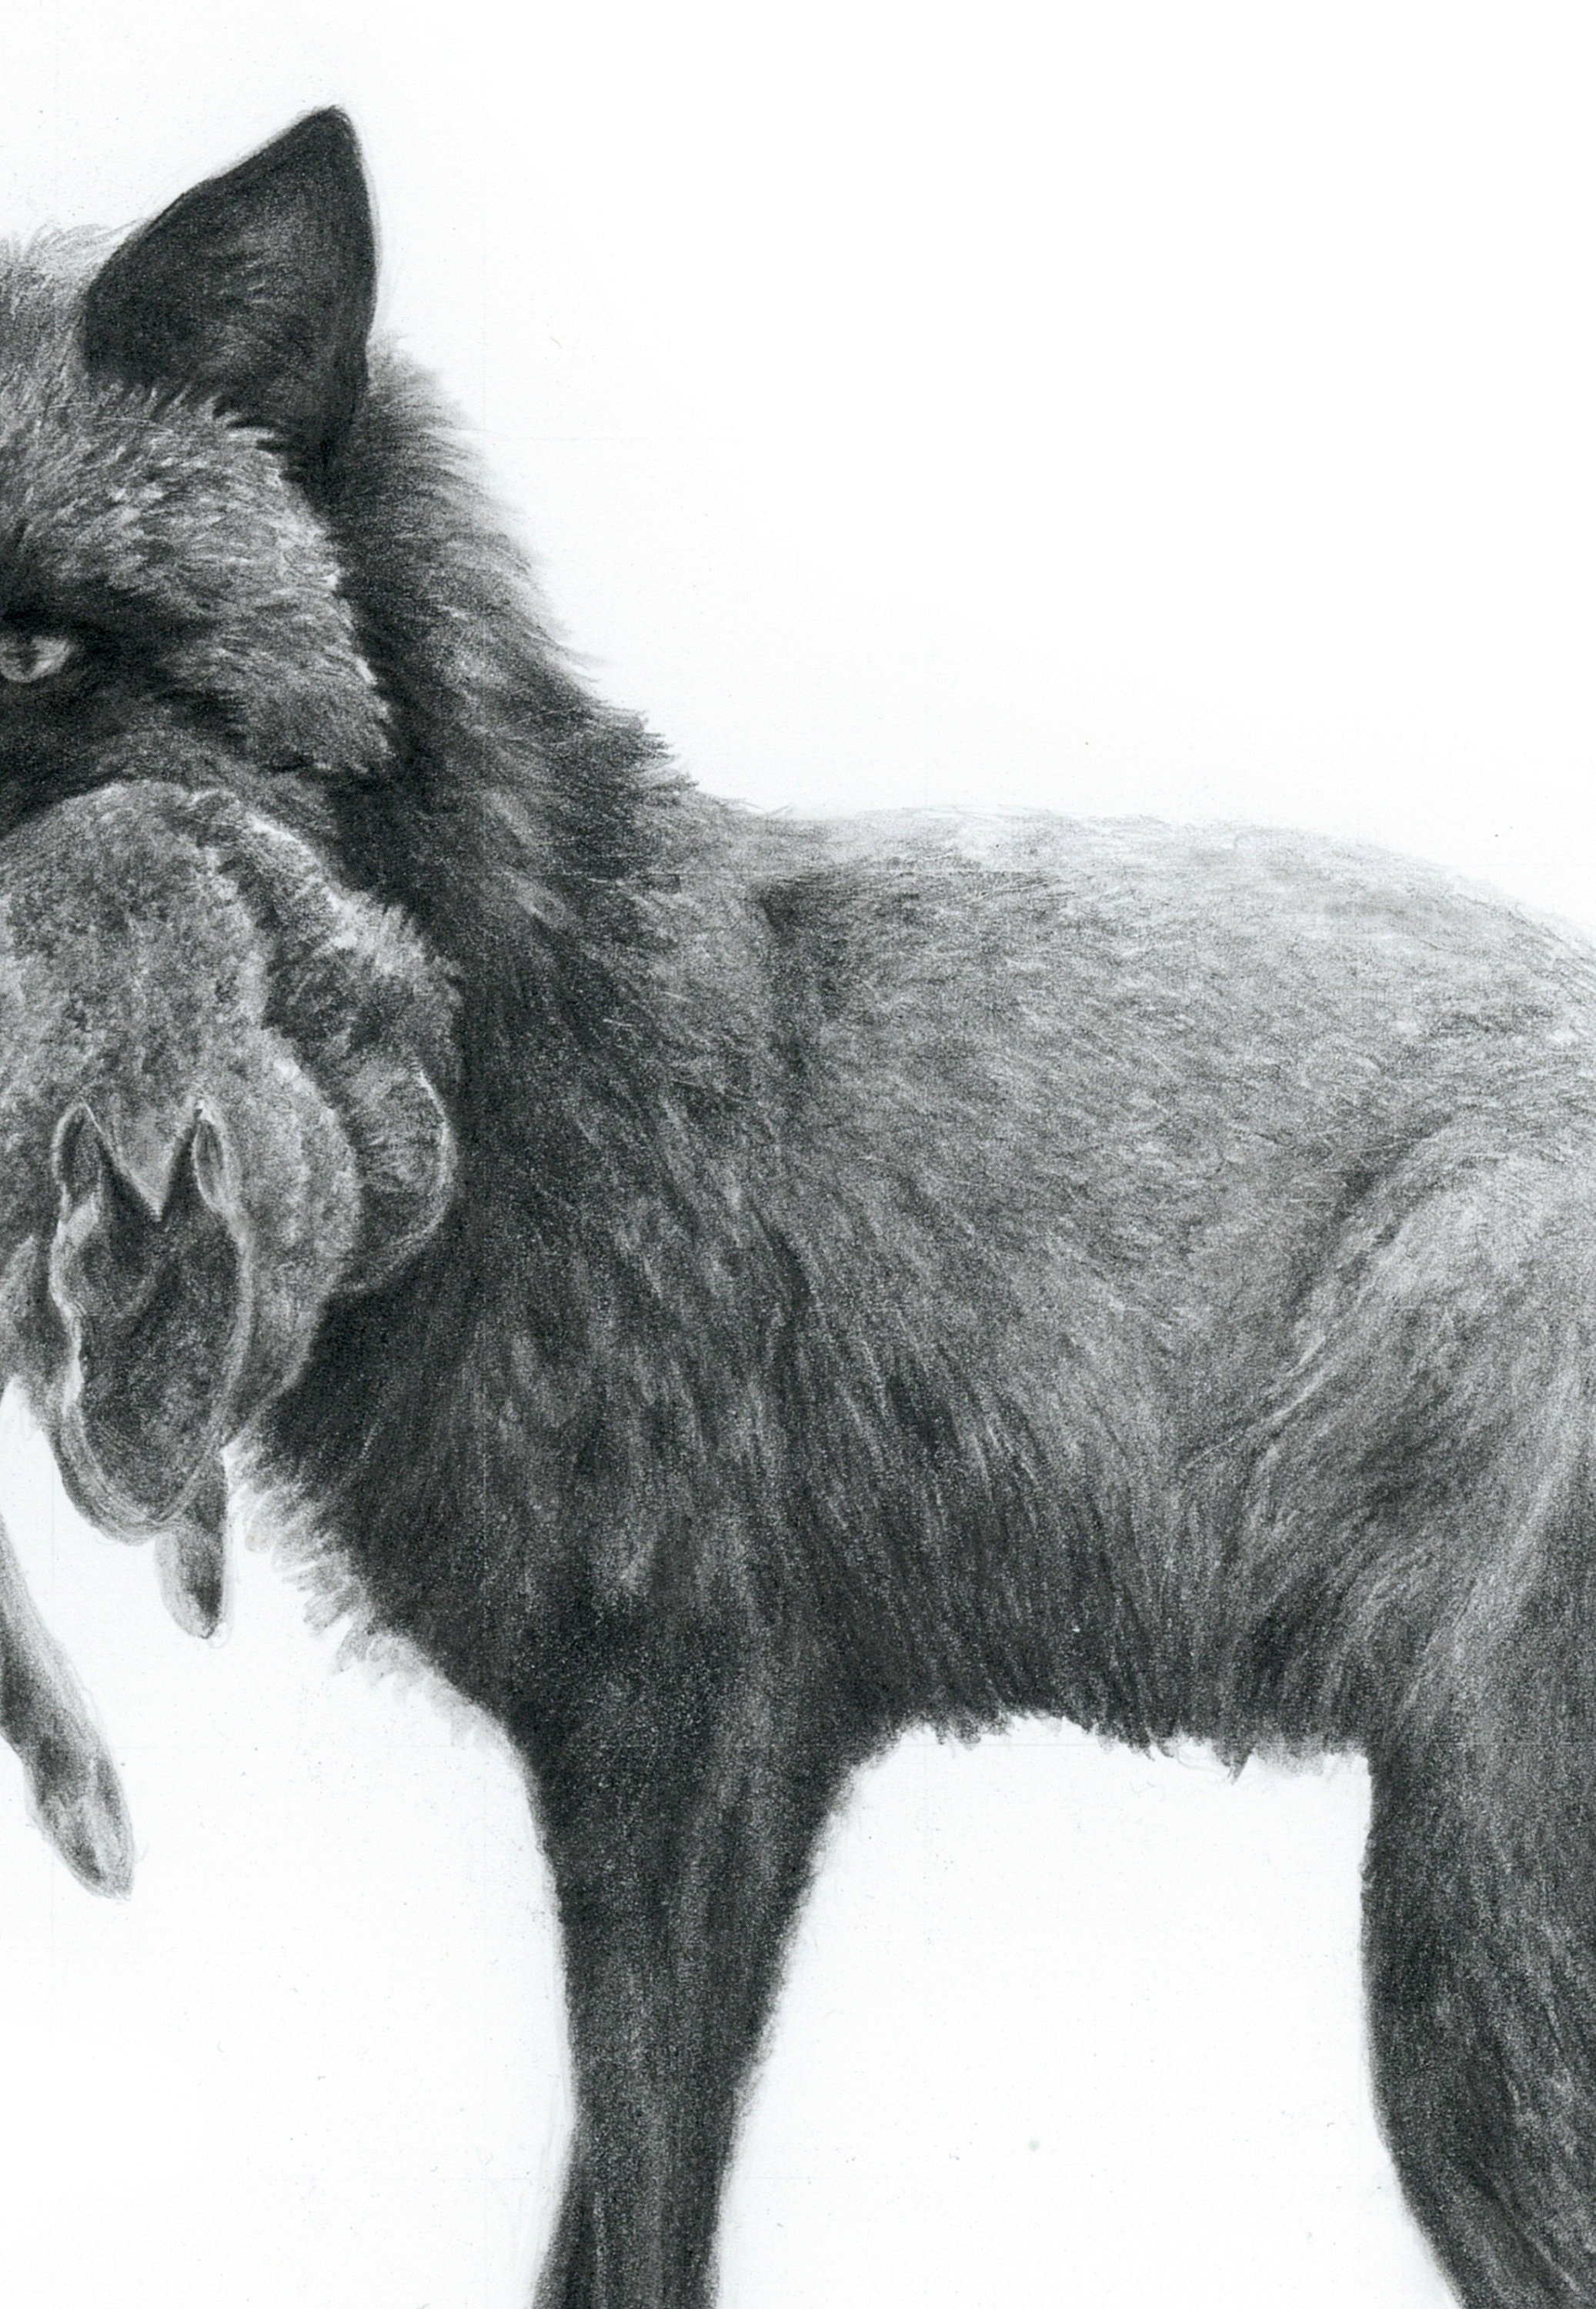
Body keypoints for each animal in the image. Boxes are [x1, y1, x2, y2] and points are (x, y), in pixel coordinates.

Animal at [0, 104, 1593, 2308]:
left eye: (31, 648)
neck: (526, 1030)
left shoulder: (693, 1751)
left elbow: (638, 2217)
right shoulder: (703, 1770)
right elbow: (601, 2217)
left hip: (1467, 1989)